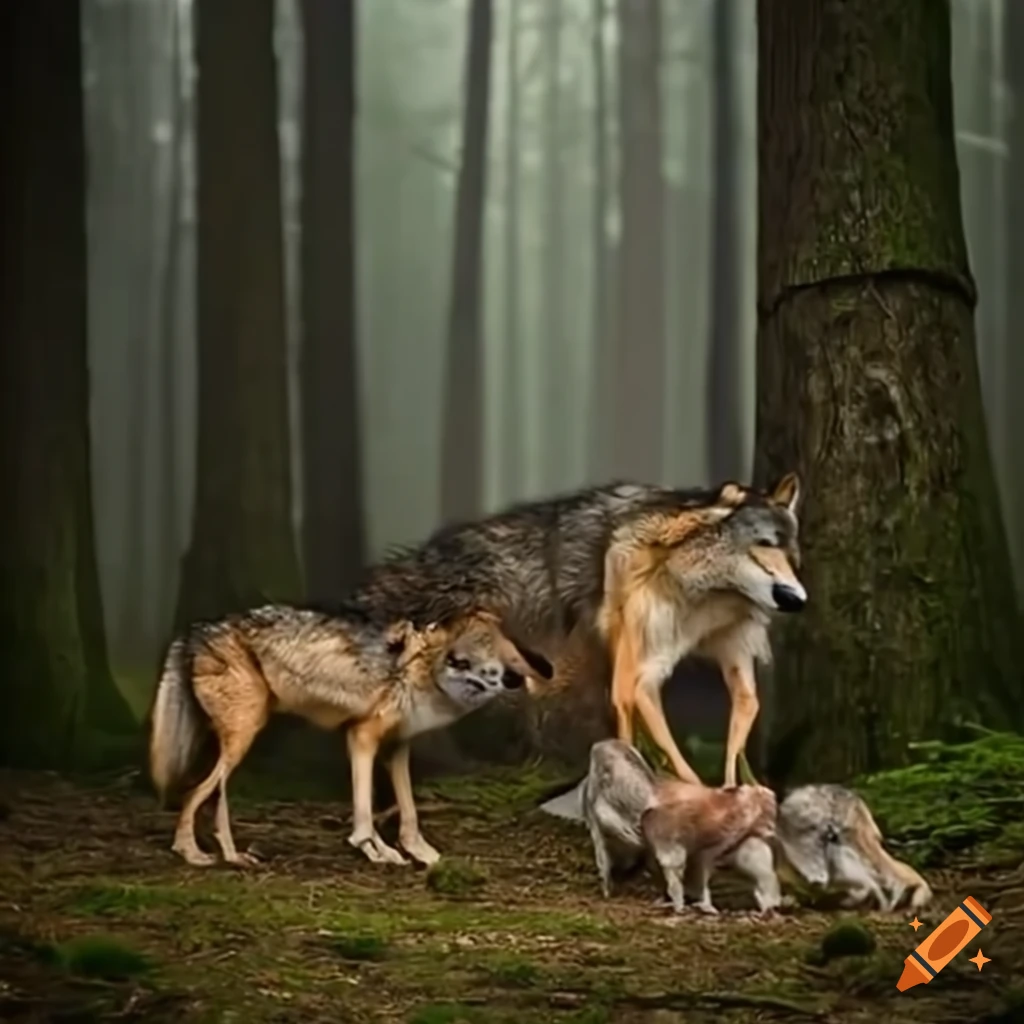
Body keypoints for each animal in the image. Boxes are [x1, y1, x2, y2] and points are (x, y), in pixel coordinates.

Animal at [148, 604, 553, 868]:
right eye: (460, 659)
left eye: (493, 662)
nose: (506, 680)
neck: (419, 675)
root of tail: (195, 628)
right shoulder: (361, 737)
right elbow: (364, 811)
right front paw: (376, 851)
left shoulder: (396, 748)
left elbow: (408, 813)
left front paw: (419, 854)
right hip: (243, 738)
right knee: (196, 792)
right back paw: (196, 854)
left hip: (237, 742)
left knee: (209, 796)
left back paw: (226, 855)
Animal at [352, 474, 807, 786]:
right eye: (764, 545)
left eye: (792, 555)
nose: (798, 599)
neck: (708, 595)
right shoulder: (644, 649)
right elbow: (643, 712)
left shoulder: (730, 649)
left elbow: (746, 708)